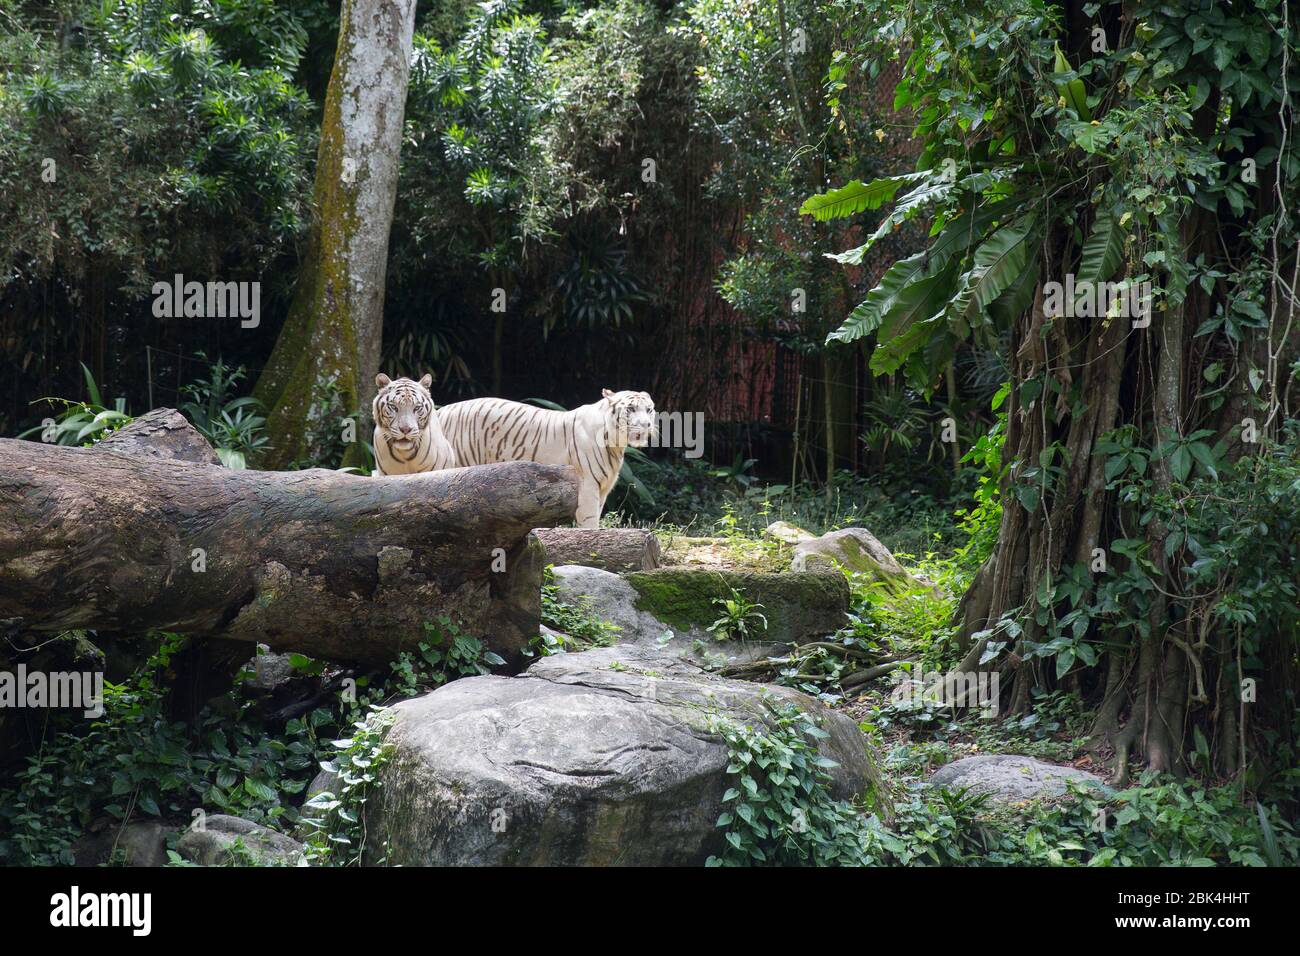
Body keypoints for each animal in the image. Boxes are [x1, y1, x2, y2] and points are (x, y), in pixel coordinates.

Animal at [435, 389, 656, 528]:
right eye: (631, 409)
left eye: (649, 410)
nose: (646, 424)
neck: (616, 444)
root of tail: (440, 410)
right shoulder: (587, 484)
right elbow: (590, 521)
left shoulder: (603, 488)